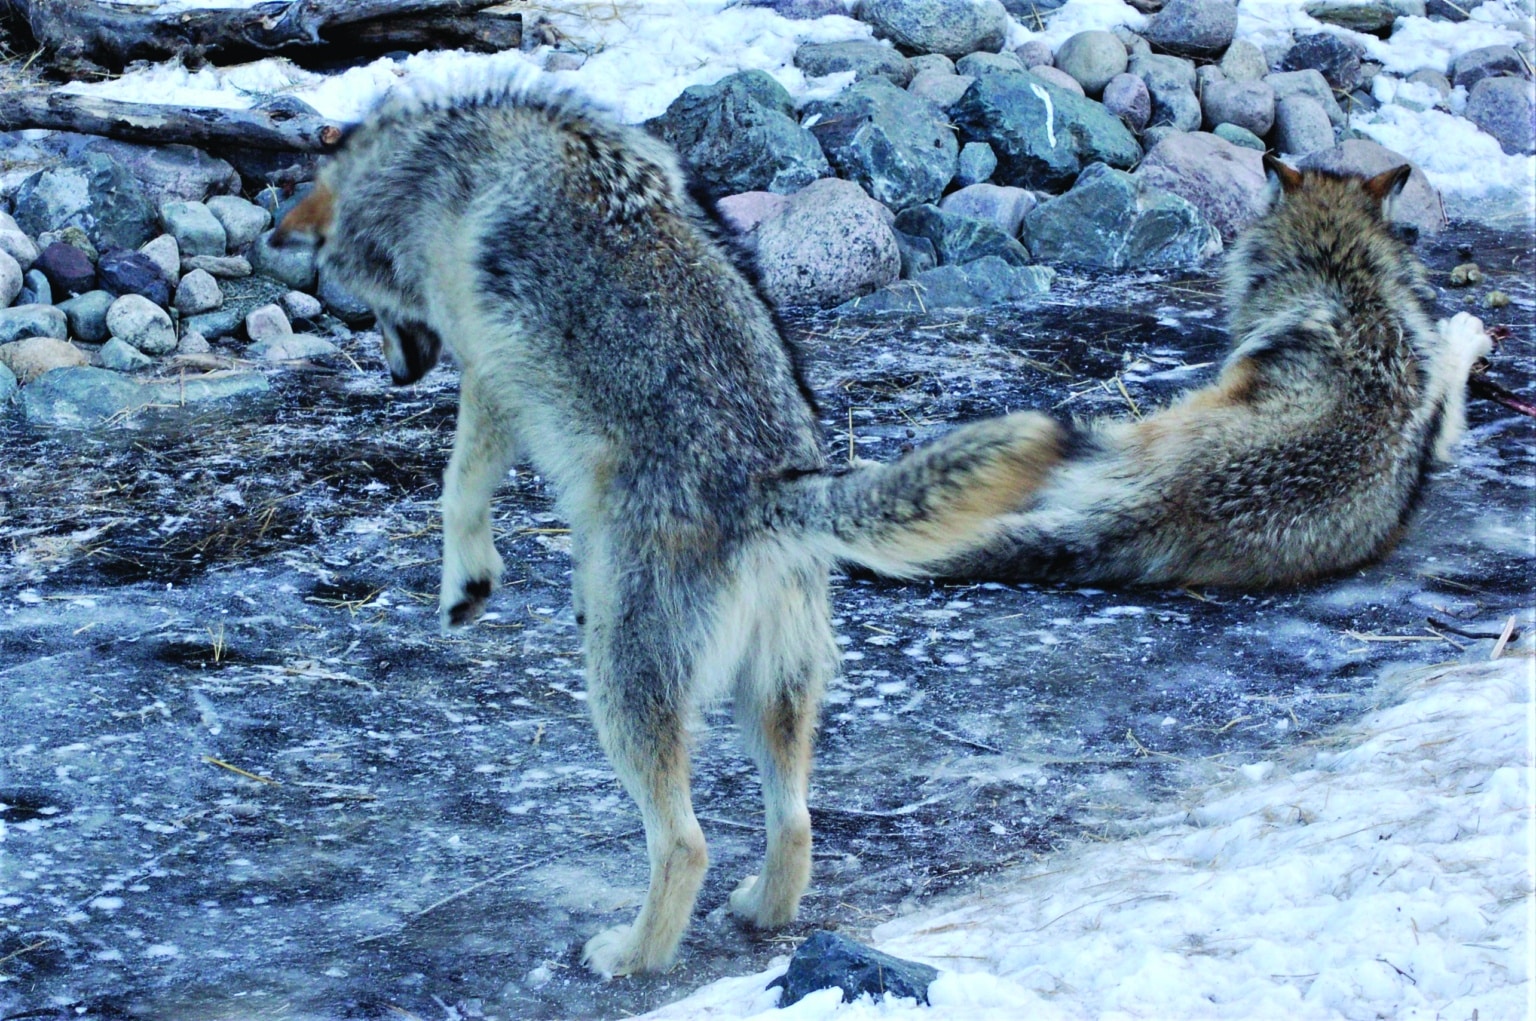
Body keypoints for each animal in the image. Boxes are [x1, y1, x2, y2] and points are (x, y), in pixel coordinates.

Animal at [273, 81, 1062, 977]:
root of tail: (770, 492)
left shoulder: (491, 378)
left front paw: (465, 584)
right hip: (774, 694)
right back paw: (759, 911)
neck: (445, 162)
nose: (395, 373)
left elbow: (457, 491)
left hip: (622, 688)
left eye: (362, 305)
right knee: (796, 821)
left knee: (685, 842)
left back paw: (631, 955)